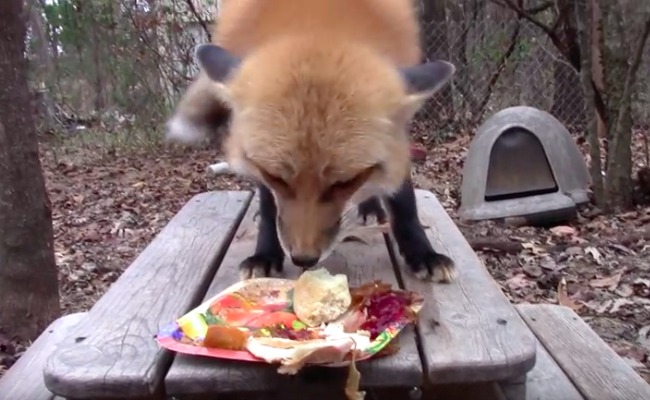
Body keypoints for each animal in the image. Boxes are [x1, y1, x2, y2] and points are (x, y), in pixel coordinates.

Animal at [165, 0, 457, 282]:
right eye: (277, 178)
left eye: (345, 182)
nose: (303, 259)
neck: (318, 19)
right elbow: (269, 206)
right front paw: (265, 254)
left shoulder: (398, 132)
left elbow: (404, 199)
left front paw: (422, 253)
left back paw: (371, 207)